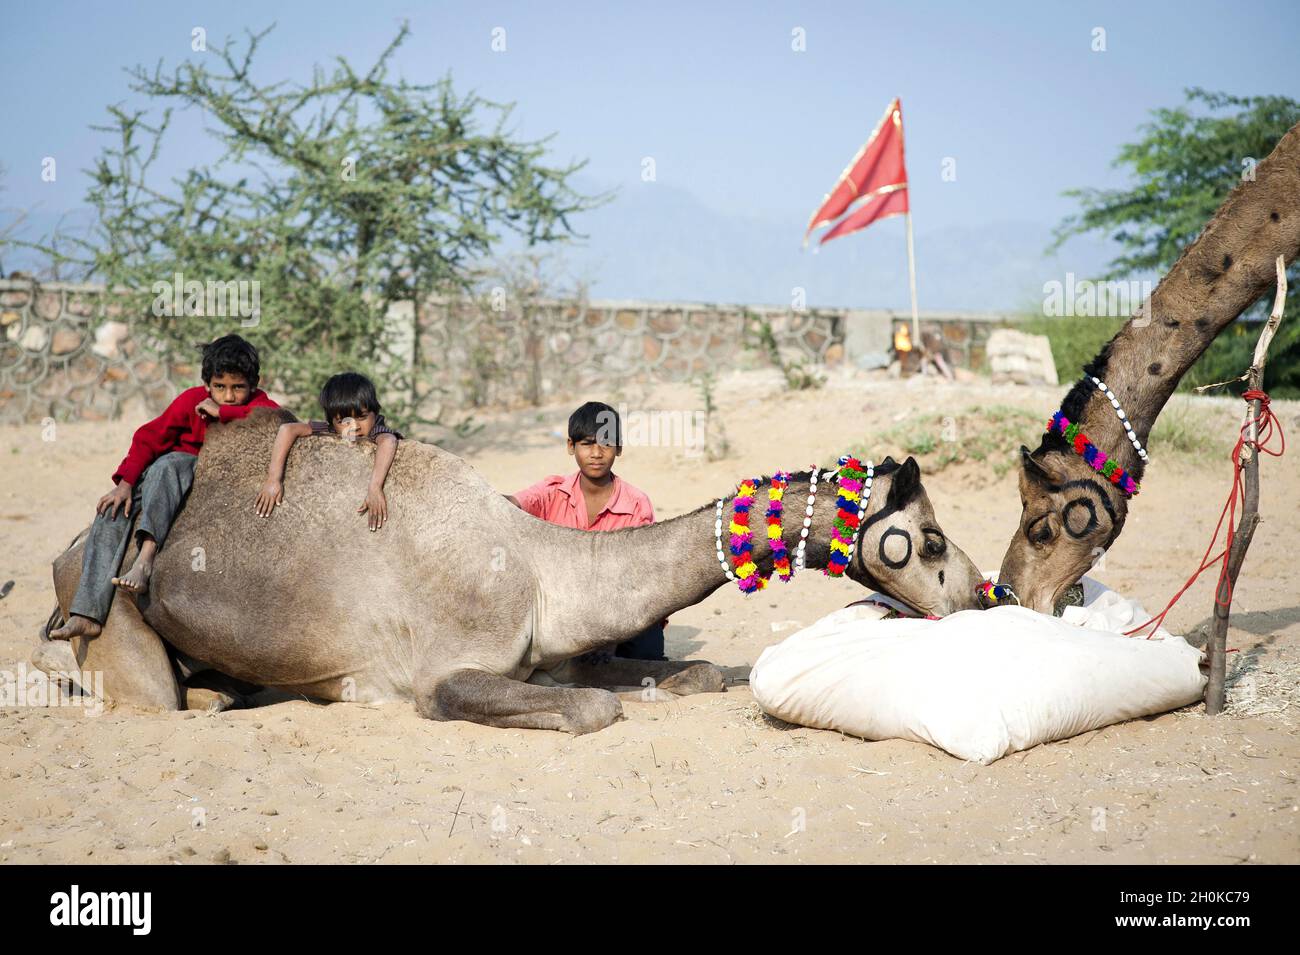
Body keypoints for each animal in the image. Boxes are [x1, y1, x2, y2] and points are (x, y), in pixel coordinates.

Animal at [32, 408, 984, 733]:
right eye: (932, 537)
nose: (980, 590)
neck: (542, 564)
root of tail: (70, 550)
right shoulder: (444, 672)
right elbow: (595, 709)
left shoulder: (555, 656)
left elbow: (696, 672)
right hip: (111, 611)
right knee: (151, 694)